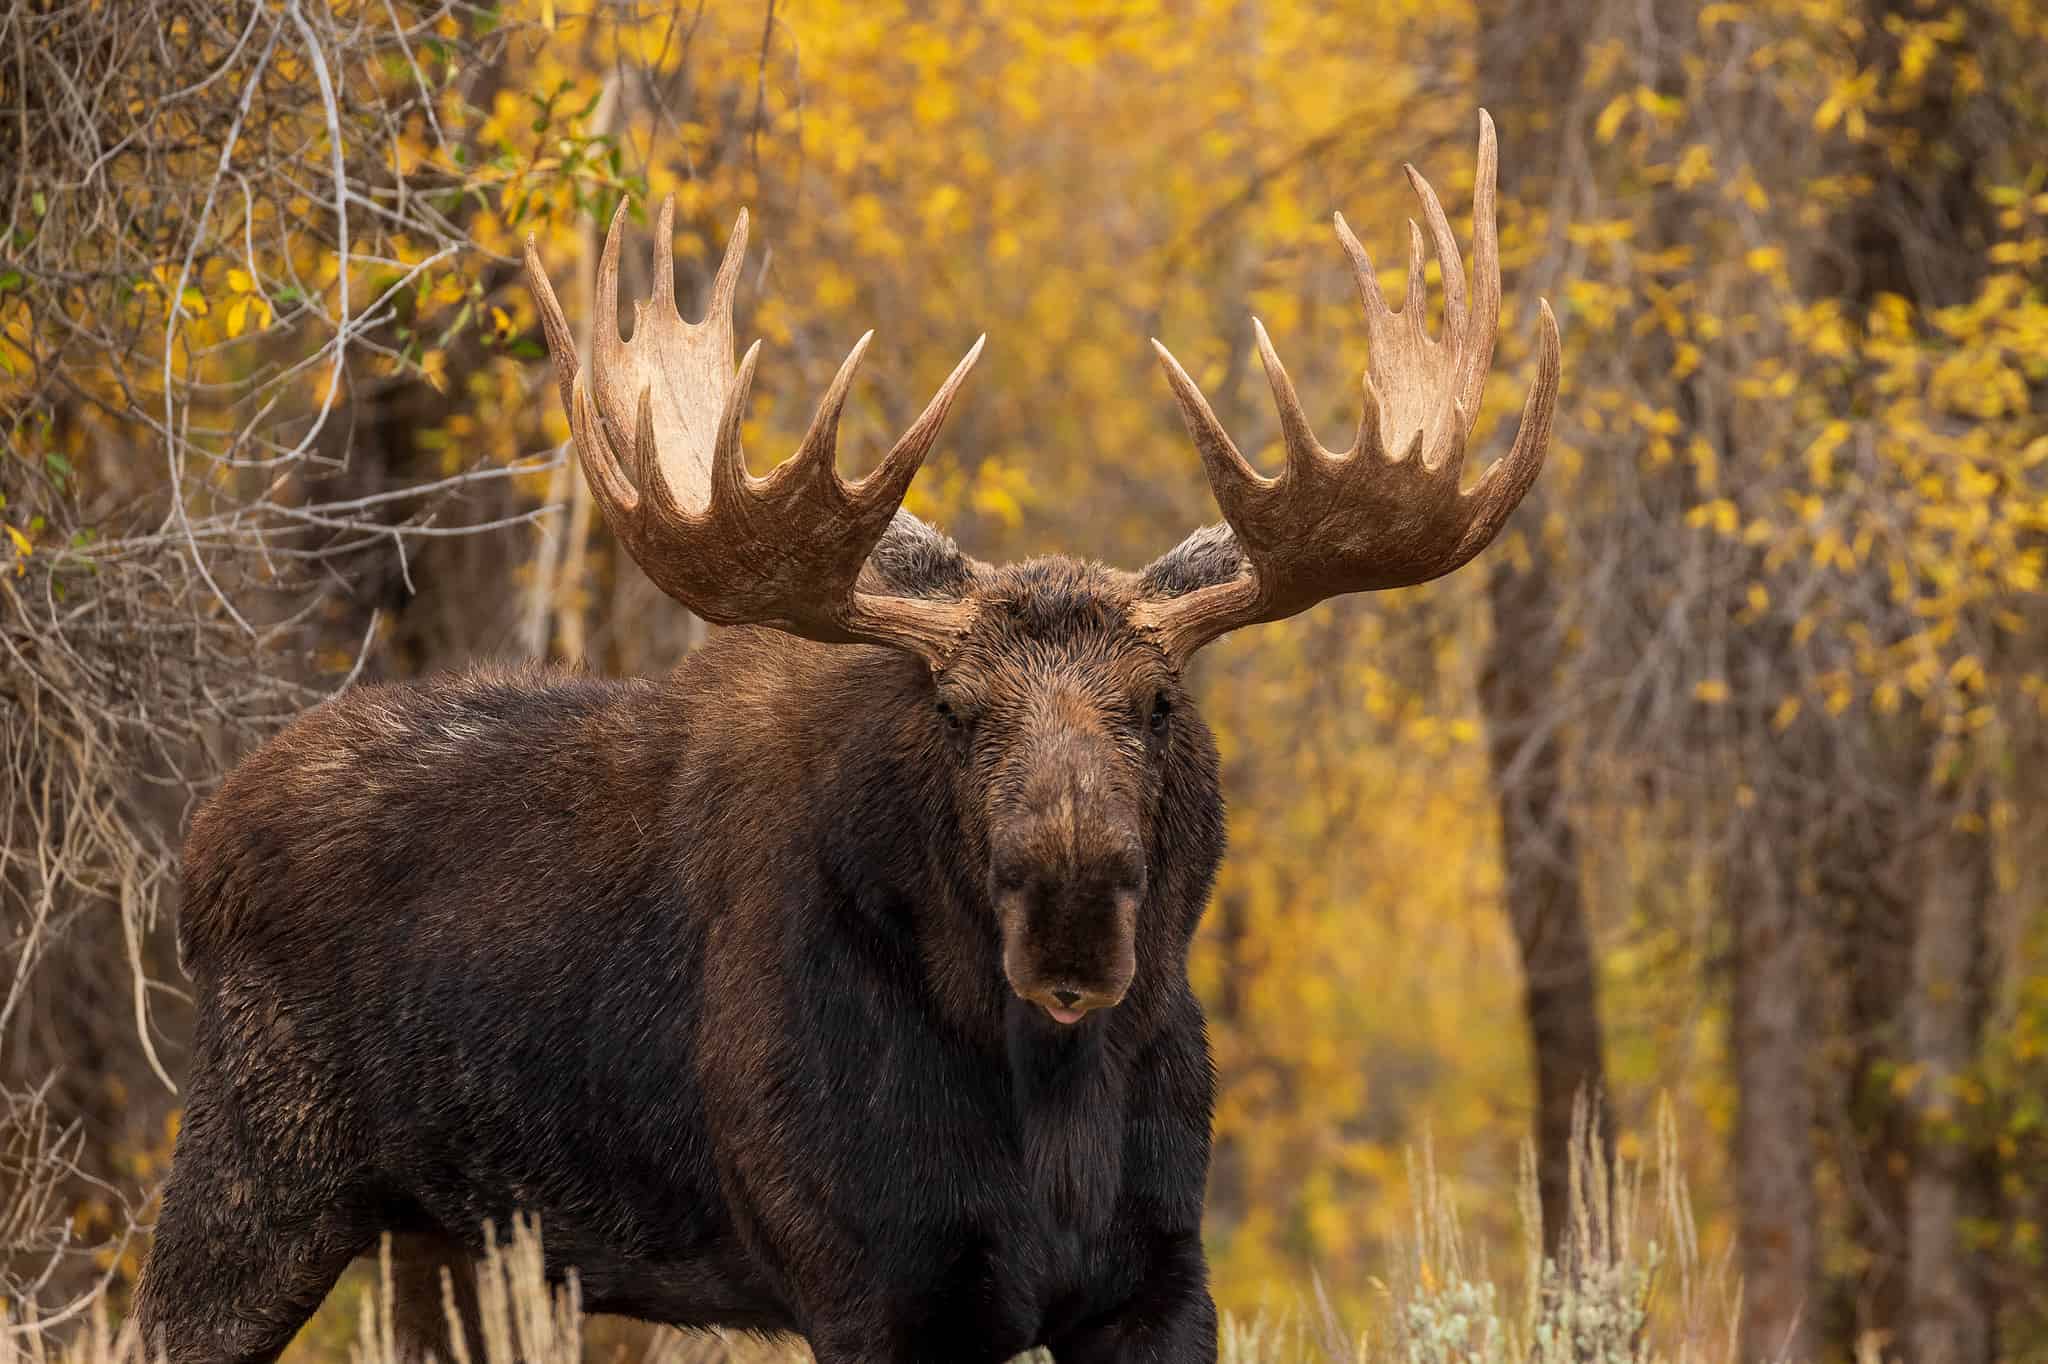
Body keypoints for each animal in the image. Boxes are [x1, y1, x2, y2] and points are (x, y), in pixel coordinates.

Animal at [134, 112, 1557, 1363]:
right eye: (956, 710)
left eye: (1157, 703)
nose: (1072, 912)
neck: (1048, 1098)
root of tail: (200, 843)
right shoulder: (875, 1279)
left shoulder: (1159, 1274)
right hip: (253, 1171)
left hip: (454, 1242)